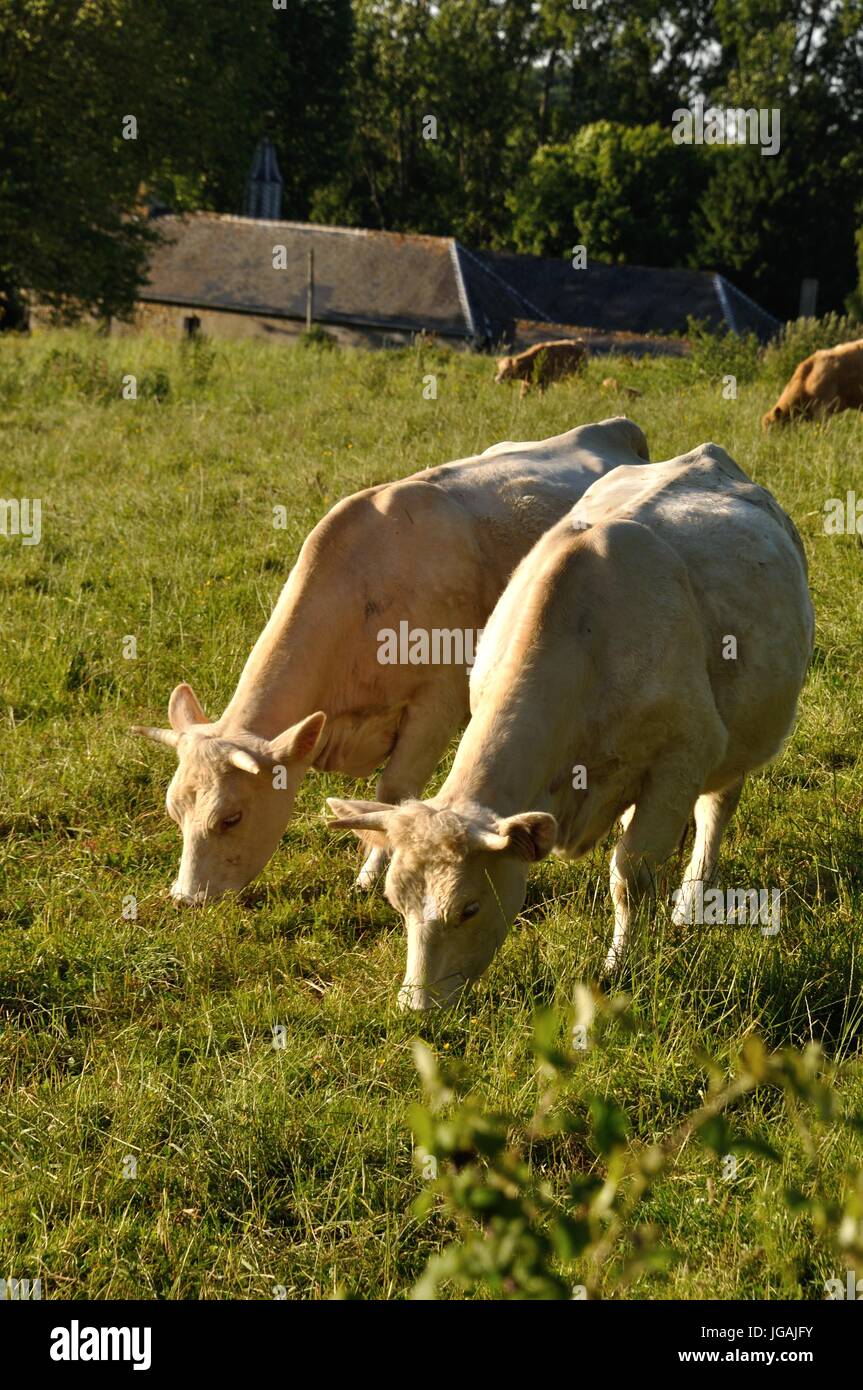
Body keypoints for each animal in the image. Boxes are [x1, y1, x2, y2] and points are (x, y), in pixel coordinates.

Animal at [132, 417, 650, 903]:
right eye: (174, 811)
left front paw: (369, 875)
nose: (186, 899)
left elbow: (392, 795)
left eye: (231, 817)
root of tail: (612, 427)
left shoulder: (435, 705)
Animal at [328, 443, 814, 1011]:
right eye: (397, 903)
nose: (415, 1008)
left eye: (469, 908)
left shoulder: (685, 754)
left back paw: (691, 900)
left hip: (740, 734)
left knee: (716, 806)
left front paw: (620, 965)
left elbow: (631, 875)